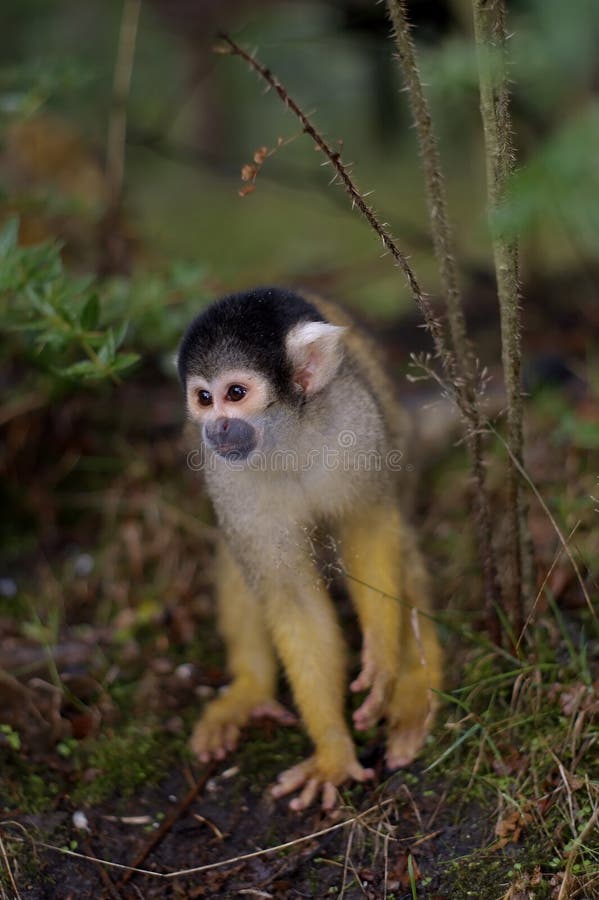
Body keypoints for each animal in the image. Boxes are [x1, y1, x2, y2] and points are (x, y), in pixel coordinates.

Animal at [177, 286, 442, 811]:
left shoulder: (357, 424)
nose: (216, 428)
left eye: (235, 393)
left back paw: (413, 695)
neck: (288, 440)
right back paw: (250, 689)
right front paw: (334, 752)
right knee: (241, 562)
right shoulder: (225, 476)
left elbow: (369, 531)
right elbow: (293, 598)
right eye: (204, 397)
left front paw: (383, 662)